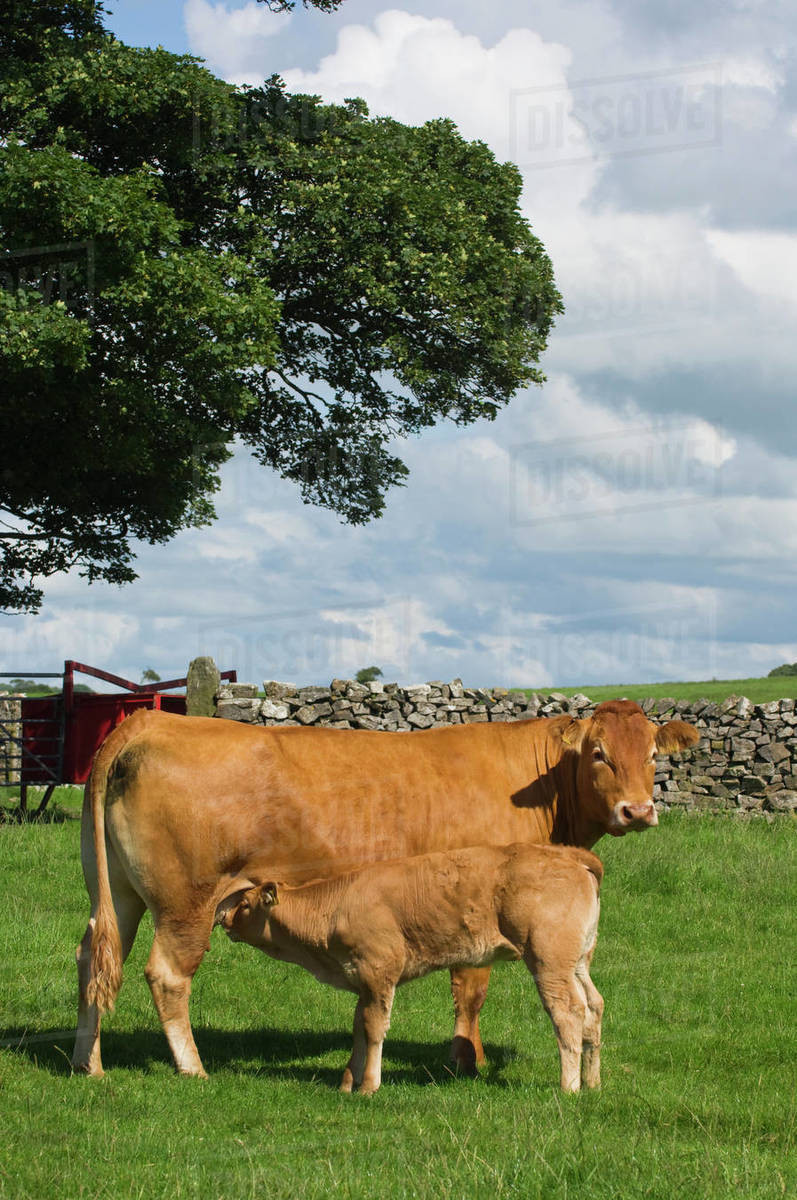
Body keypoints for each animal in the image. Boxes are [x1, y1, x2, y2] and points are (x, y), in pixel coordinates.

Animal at [220, 842, 604, 1095]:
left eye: (245, 903)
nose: (222, 917)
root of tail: (569, 854)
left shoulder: (379, 972)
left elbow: (375, 1029)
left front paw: (369, 1086)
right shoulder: (363, 981)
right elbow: (359, 1028)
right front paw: (347, 1082)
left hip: (549, 961)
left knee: (568, 1011)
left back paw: (569, 1086)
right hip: (578, 962)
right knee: (593, 1007)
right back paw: (593, 1082)